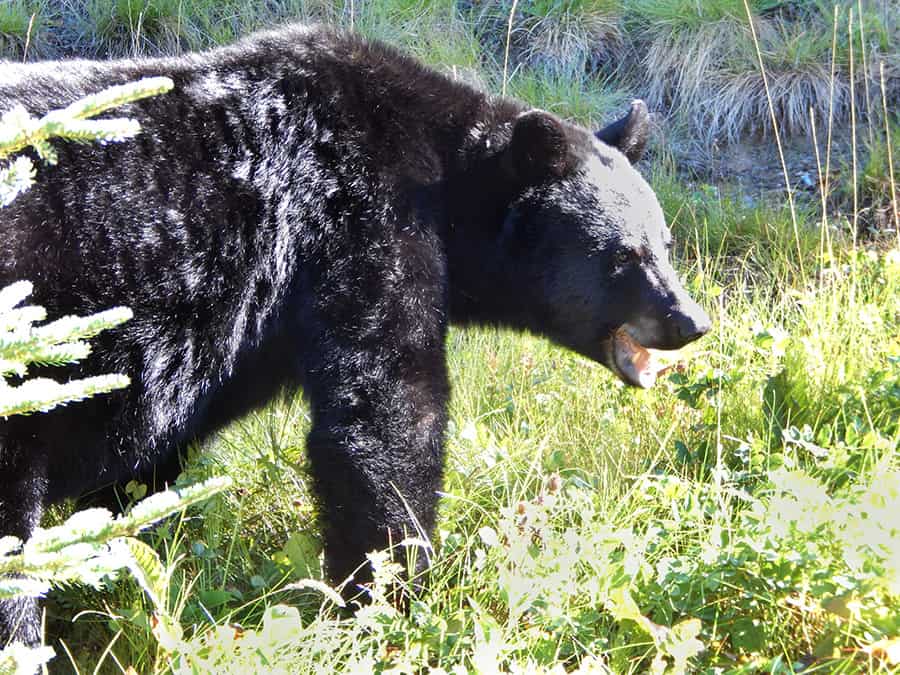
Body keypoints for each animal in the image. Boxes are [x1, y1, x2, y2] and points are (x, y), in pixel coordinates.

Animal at [0, 24, 710, 644]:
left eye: (666, 243)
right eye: (623, 256)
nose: (689, 321)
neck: (448, 183)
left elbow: (151, 458)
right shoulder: (360, 223)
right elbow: (384, 410)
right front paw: (396, 591)